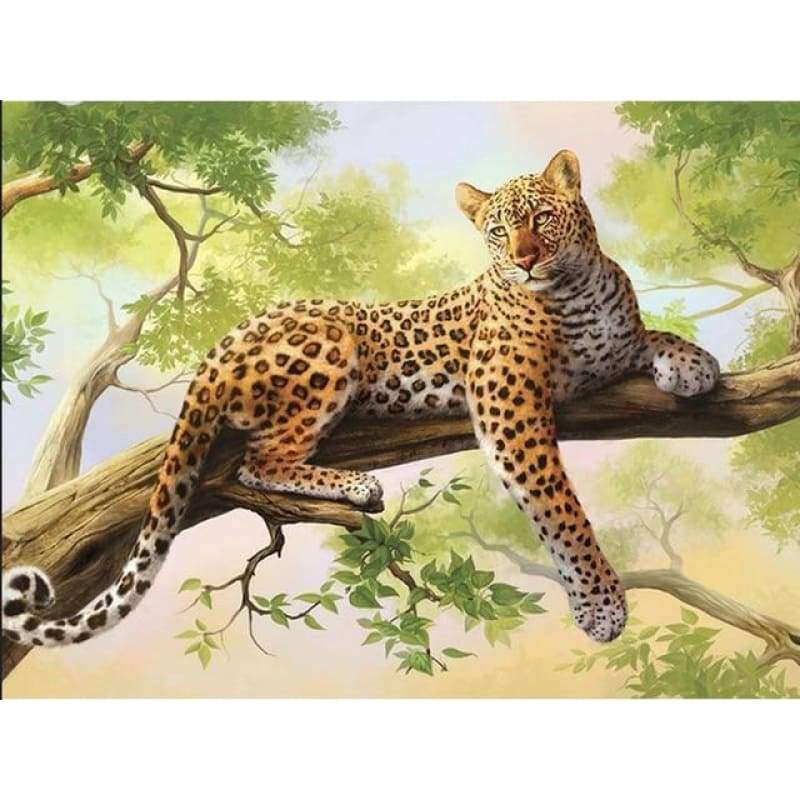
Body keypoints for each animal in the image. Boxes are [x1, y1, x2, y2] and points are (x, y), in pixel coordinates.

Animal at [2, 150, 720, 649]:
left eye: (541, 217)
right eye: (496, 231)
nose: (523, 260)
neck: (576, 287)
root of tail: (221, 344)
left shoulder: (608, 350)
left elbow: (646, 336)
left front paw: (693, 362)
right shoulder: (507, 404)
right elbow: (560, 507)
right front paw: (601, 604)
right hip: (330, 345)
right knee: (258, 461)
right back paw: (356, 486)